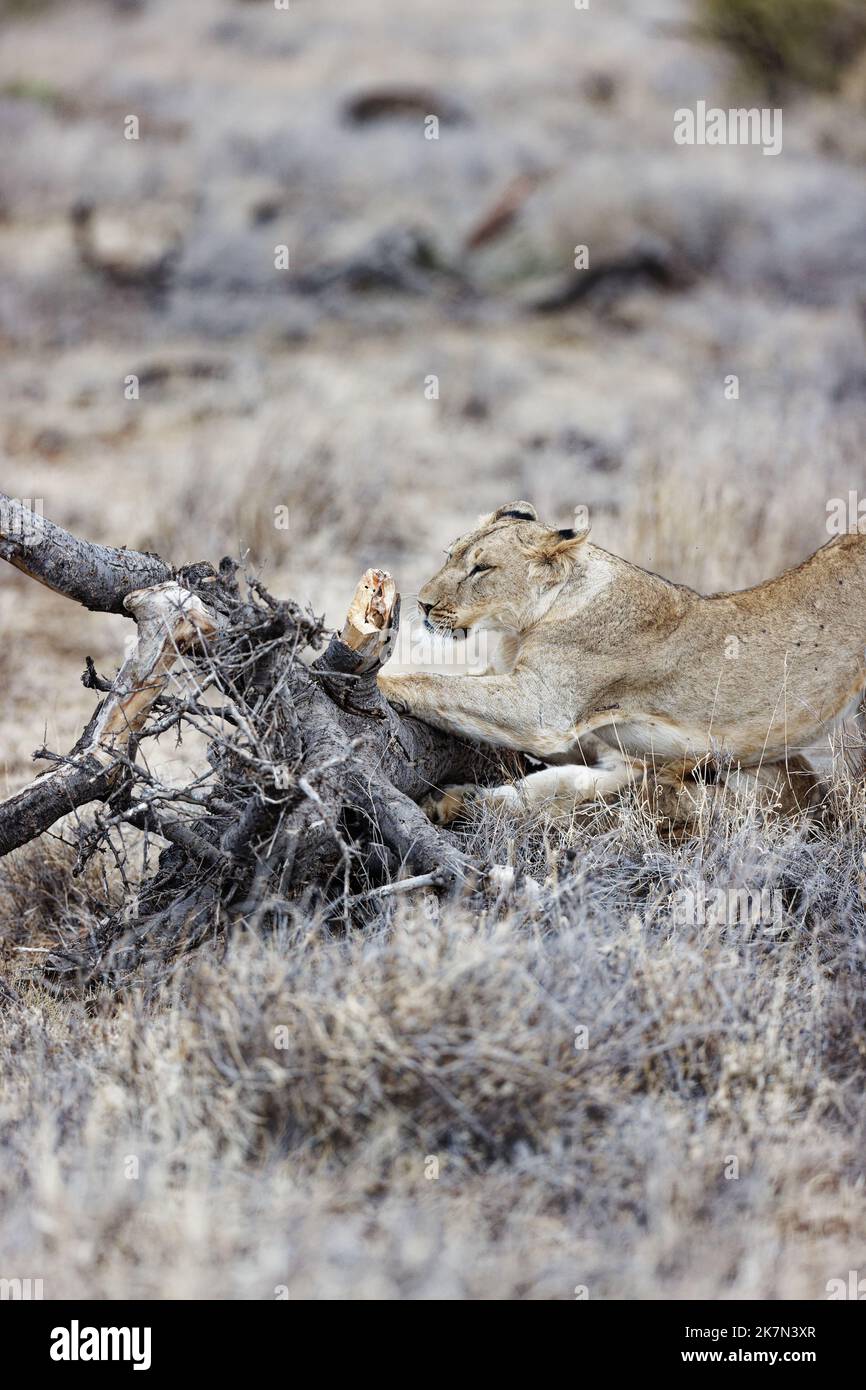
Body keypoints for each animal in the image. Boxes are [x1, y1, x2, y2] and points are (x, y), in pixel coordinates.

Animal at [376, 501, 866, 824]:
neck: (522, 626)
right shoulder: (589, 738)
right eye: (450, 554)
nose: (421, 604)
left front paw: (373, 683)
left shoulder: (541, 708)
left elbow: (434, 683)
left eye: (482, 569)